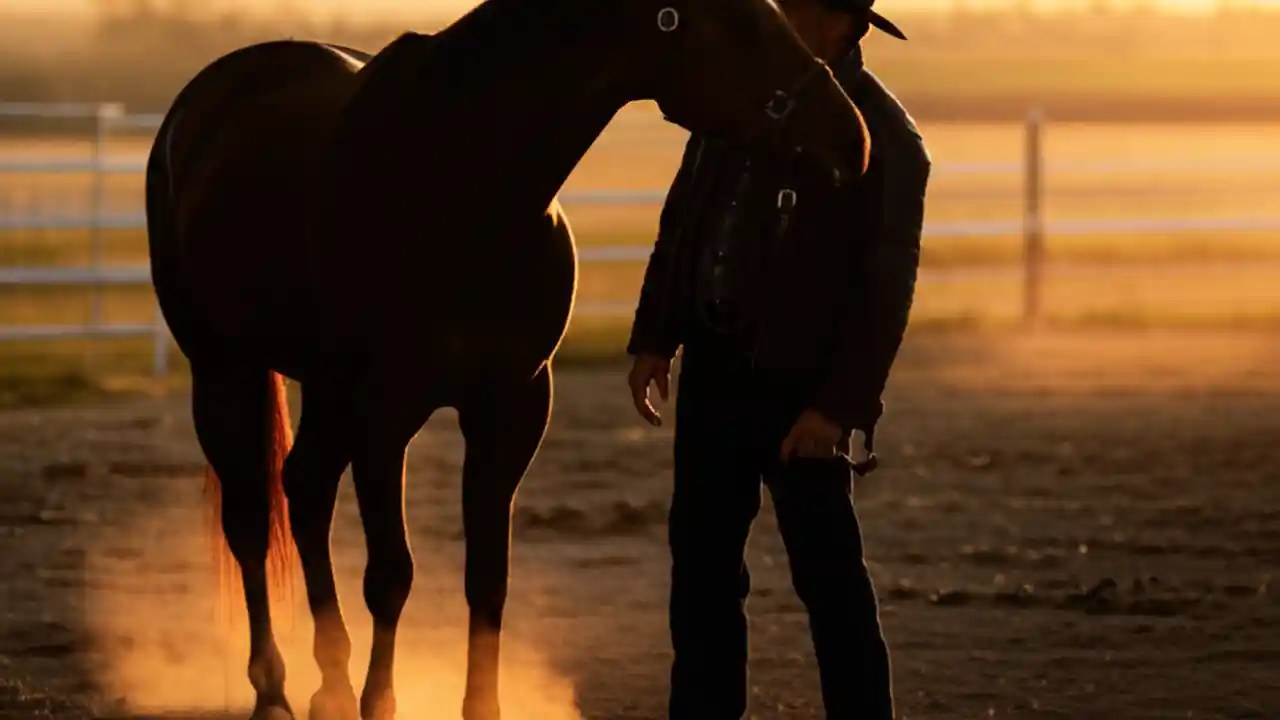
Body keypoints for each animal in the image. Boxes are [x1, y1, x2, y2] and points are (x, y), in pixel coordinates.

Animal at [145, 0, 870, 716]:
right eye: (742, 20)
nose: (854, 138)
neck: (467, 185)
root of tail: (198, 106)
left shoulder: (512, 407)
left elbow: (488, 577)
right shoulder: (386, 413)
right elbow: (391, 573)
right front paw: (380, 701)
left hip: (326, 390)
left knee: (304, 489)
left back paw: (331, 685)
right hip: (223, 369)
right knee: (250, 519)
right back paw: (273, 690)